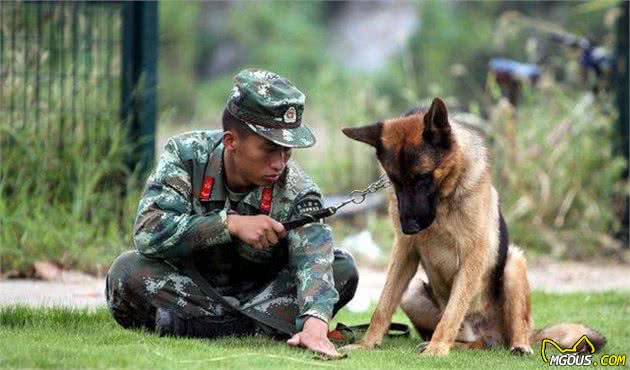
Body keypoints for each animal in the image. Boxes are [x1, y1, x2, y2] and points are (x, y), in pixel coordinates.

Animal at [340, 97, 608, 356]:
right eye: (395, 181)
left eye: (423, 176)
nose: (409, 229)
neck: (444, 200)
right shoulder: (405, 252)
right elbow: (383, 306)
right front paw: (367, 344)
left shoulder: (473, 254)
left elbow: (452, 311)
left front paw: (437, 349)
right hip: (412, 290)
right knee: (478, 342)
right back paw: (448, 344)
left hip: (514, 263)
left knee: (510, 331)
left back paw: (519, 346)